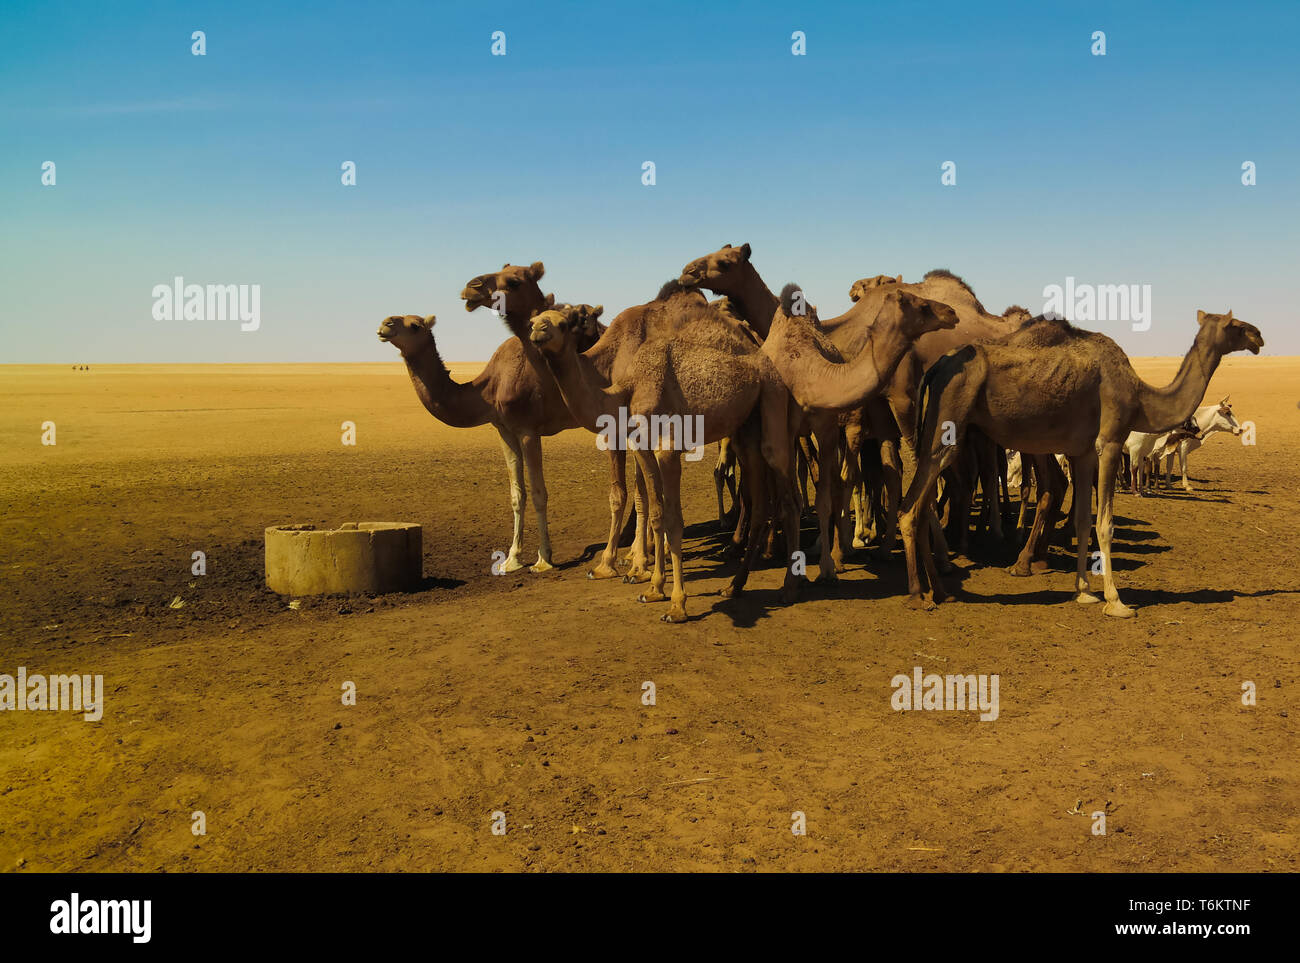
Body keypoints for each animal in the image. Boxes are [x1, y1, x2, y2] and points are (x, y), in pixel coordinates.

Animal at [378, 279, 604, 573]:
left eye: (415, 325)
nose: (385, 324)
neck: (490, 387)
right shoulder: (504, 429)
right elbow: (517, 494)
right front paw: (512, 559)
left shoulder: (529, 430)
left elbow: (539, 492)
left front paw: (544, 558)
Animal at [527, 299, 802, 622]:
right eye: (535, 320)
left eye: (563, 323)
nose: (538, 331)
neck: (628, 389)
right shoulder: (642, 447)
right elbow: (656, 513)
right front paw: (653, 588)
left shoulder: (668, 450)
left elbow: (673, 520)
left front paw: (677, 604)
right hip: (745, 428)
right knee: (759, 503)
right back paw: (734, 586)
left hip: (773, 396)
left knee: (788, 496)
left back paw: (789, 588)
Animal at [898, 310, 1263, 618]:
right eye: (1235, 325)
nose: (1258, 335)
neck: (1140, 397)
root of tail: (936, 368)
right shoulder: (1110, 442)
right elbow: (1105, 523)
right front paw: (1116, 602)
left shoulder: (1084, 451)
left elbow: (1083, 520)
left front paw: (1084, 591)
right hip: (949, 424)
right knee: (910, 507)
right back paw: (918, 595)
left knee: (921, 505)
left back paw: (941, 590)